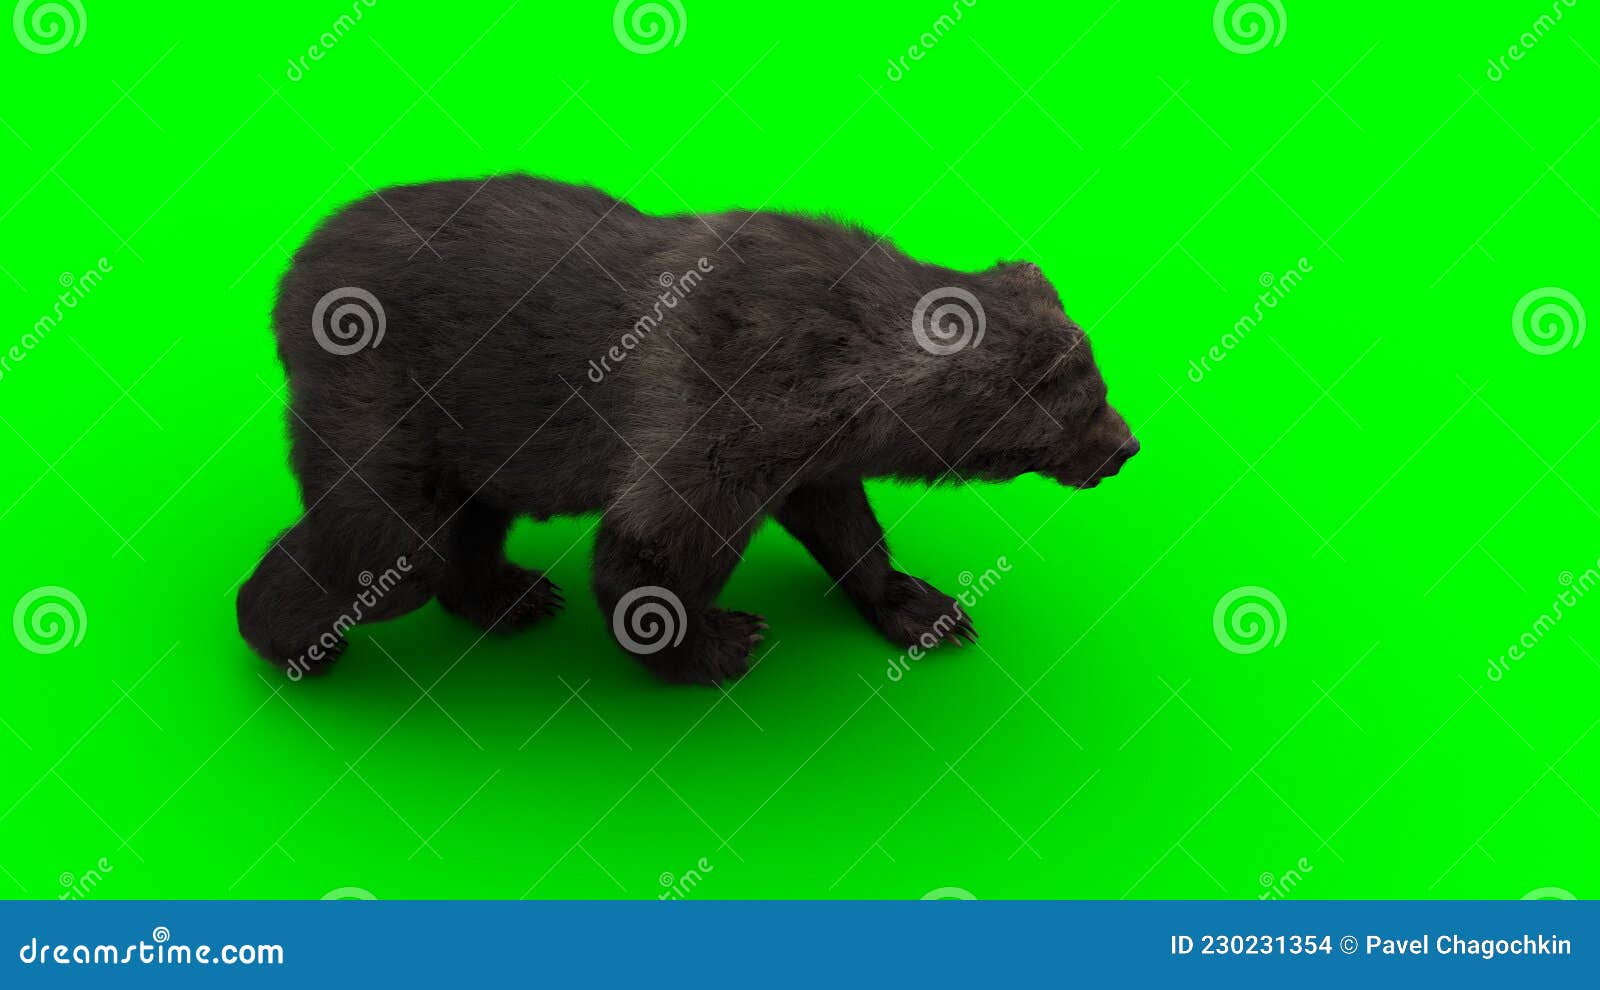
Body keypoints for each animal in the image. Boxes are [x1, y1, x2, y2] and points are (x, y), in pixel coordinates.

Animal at [237, 174, 1138, 685]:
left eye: (1098, 381)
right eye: (1082, 398)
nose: (1126, 447)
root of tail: (294, 265)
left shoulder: (805, 444)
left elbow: (841, 518)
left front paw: (923, 606)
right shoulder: (712, 400)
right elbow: (651, 547)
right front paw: (721, 640)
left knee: (463, 520)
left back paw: (509, 594)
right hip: (384, 381)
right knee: (391, 544)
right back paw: (288, 637)